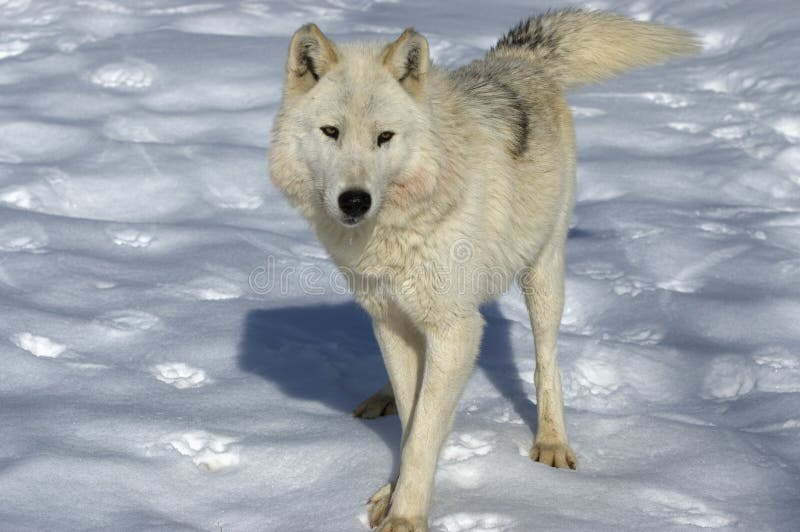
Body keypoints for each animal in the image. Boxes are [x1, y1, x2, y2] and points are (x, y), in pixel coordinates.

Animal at [269, 9, 697, 531]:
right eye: (331, 132)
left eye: (384, 137)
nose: (354, 200)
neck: (399, 229)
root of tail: (517, 59)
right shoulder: (390, 321)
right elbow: (412, 420)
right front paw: (393, 490)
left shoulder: (457, 329)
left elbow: (422, 433)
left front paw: (405, 516)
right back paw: (380, 398)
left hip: (543, 276)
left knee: (546, 364)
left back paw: (552, 444)